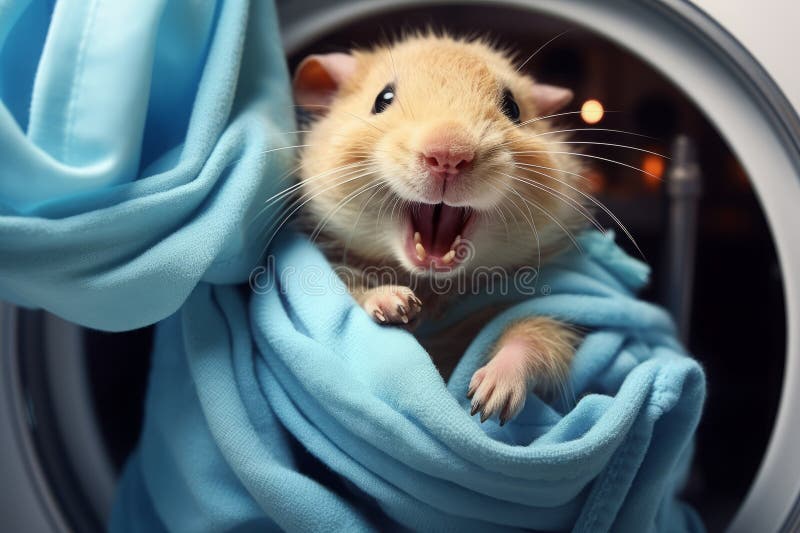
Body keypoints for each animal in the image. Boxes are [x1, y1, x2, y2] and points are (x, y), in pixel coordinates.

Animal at [290, 33, 586, 425]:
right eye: (382, 99)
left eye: (513, 108)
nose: (449, 155)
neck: (431, 286)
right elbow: (351, 287)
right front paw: (392, 300)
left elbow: (540, 334)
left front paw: (493, 391)